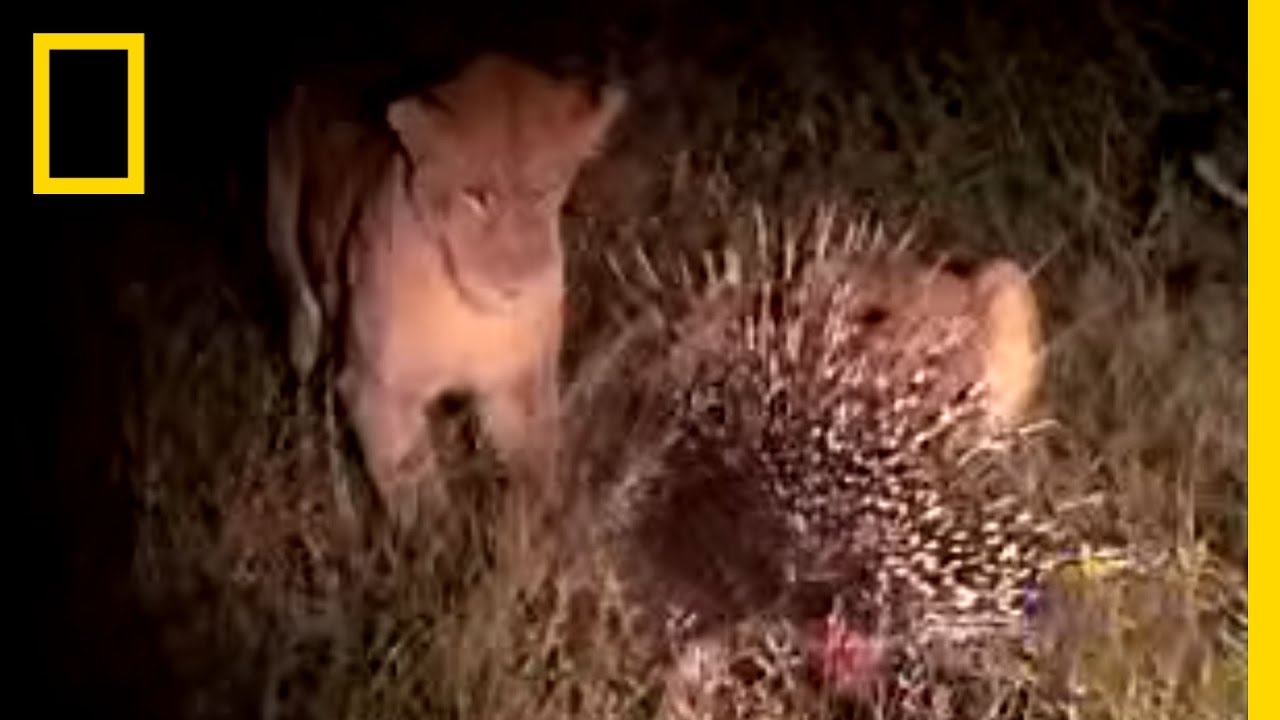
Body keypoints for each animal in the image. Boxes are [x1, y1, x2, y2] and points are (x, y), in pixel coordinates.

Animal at [266, 53, 626, 528]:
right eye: (475, 195)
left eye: (544, 190)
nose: (516, 283)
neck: (466, 312)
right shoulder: (376, 388)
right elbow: (418, 494)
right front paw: (441, 543)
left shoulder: (517, 383)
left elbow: (537, 466)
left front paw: (545, 530)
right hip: (295, 289)